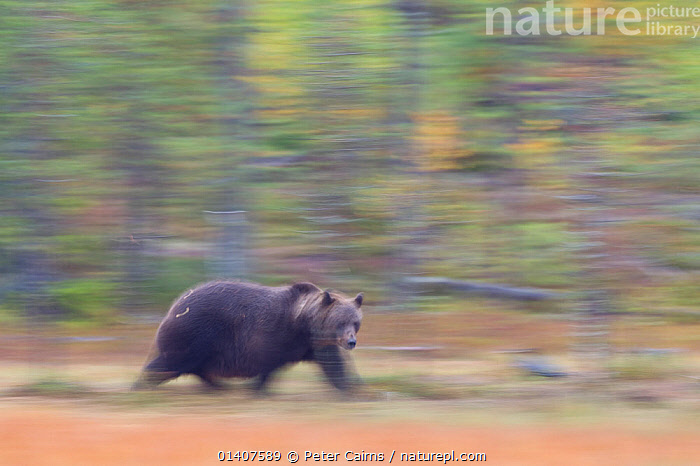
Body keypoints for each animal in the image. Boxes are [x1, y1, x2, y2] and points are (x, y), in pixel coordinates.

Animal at [132, 280, 364, 393]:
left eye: (356, 322)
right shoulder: (275, 334)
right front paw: (258, 388)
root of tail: (175, 305)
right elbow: (266, 363)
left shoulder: (316, 345)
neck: (305, 324)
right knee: (168, 362)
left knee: (196, 368)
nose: (351, 342)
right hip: (194, 333)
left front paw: (349, 388)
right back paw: (138, 386)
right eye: (340, 321)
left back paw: (218, 386)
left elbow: (333, 366)